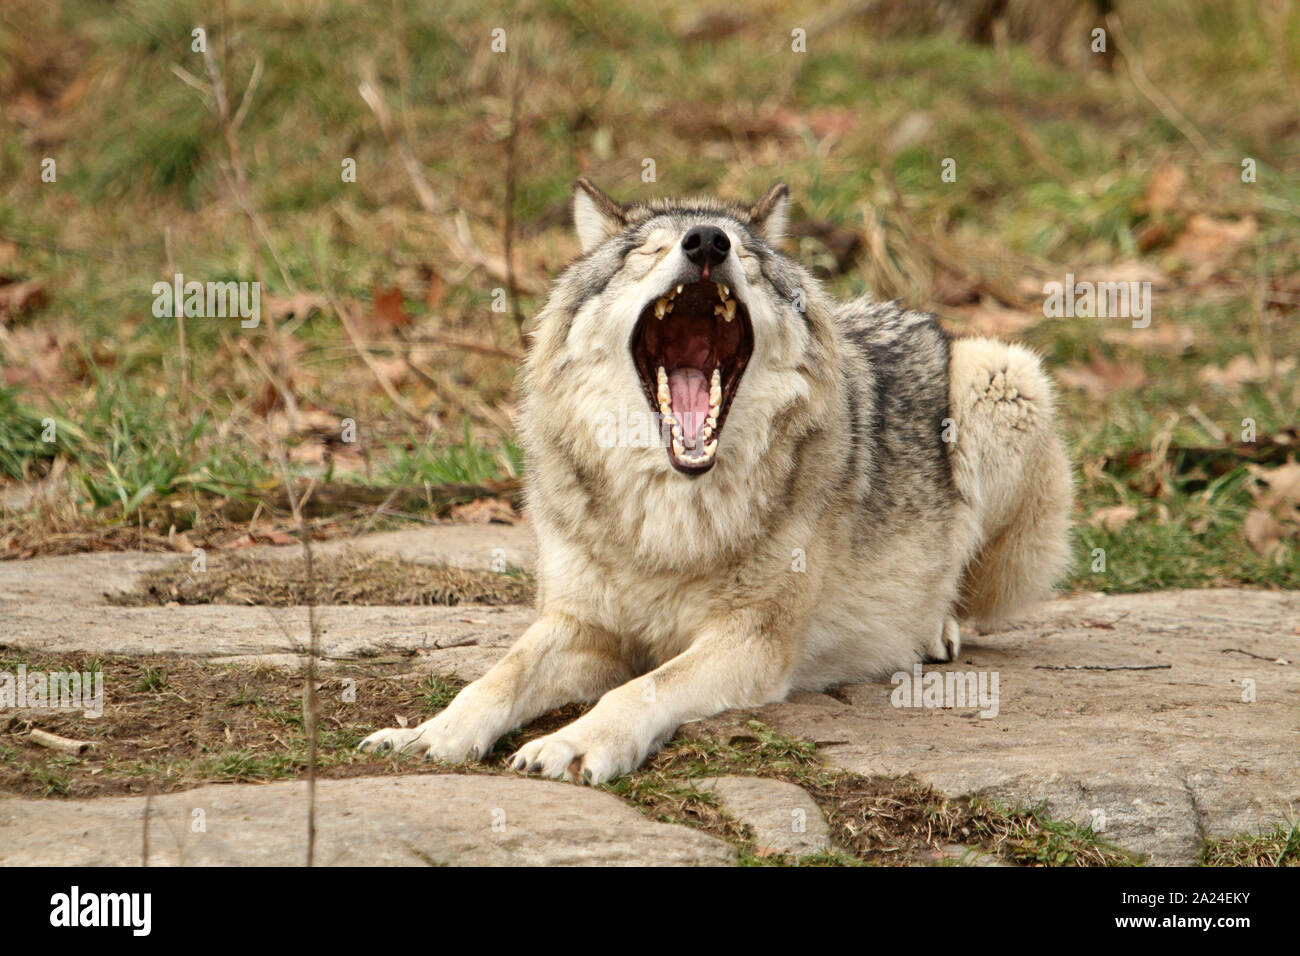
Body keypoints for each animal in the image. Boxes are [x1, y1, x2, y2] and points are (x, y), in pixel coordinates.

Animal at [359, 179, 1073, 783]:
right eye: (644, 251)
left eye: (747, 256)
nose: (707, 240)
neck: (670, 509)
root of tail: (923, 318)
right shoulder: (583, 625)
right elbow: (496, 678)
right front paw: (429, 733)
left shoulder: (749, 640)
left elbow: (639, 689)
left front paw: (572, 742)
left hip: (1003, 375)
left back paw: (932, 628)